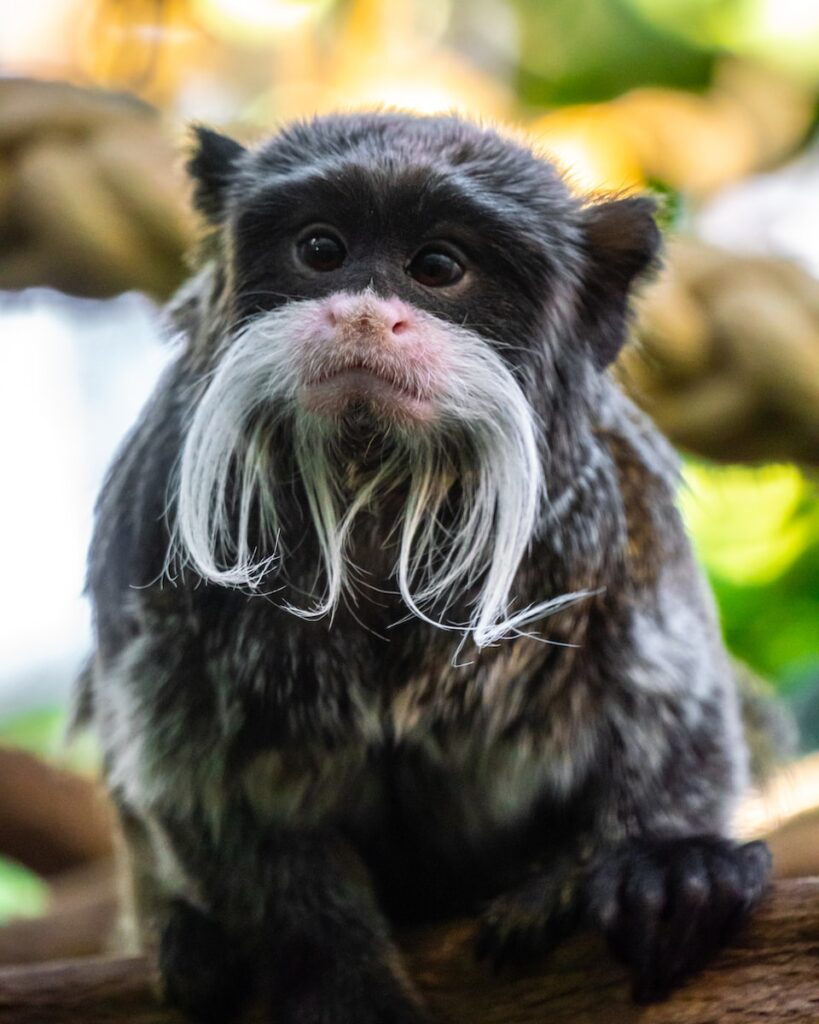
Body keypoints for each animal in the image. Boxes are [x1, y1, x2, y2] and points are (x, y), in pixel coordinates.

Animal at [77, 112, 772, 1022]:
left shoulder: (618, 518)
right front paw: (340, 974)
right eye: (321, 249)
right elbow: (214, 801)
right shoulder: (160, 526)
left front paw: (661, 866)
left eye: (437, 267)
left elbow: (673, 715)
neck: (377, 491)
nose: (365, 316)